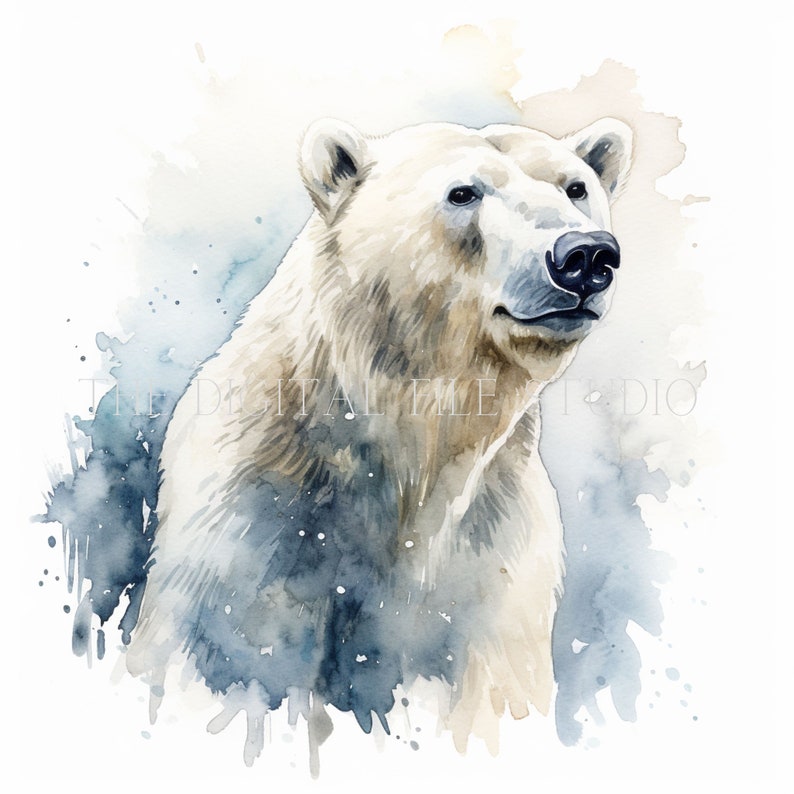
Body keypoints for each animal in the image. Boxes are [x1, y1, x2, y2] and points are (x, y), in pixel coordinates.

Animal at [126, 116, 633, 769]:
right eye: (463, 193)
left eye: (575, 187)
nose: (586, 254)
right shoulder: (250, 524)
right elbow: (225, 658)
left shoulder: (494, 549)